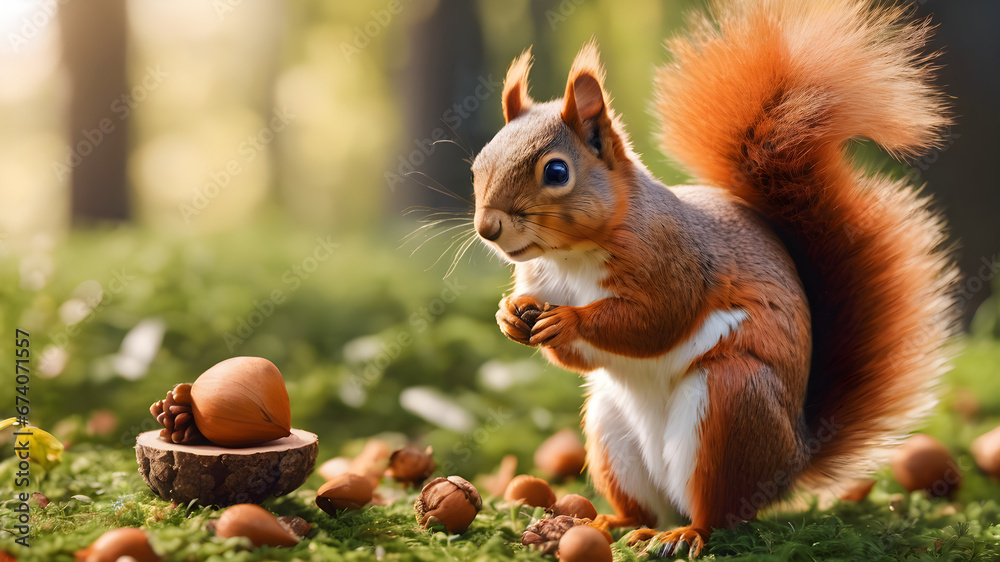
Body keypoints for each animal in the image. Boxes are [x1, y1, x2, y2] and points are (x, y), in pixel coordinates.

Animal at [471, 0, 957, 556]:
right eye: (478, 163)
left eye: (556, 172)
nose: (487, 227)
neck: (569, 258)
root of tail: (790, 465)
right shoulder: (542, 280)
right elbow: (572, 348)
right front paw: (509, 316)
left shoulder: (674, 263)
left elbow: (654, 322)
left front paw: (569, 321)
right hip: (611, 430)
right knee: (643, 507)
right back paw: (610, 524)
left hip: (728, 407)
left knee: (718, 513)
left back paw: (685, 534)